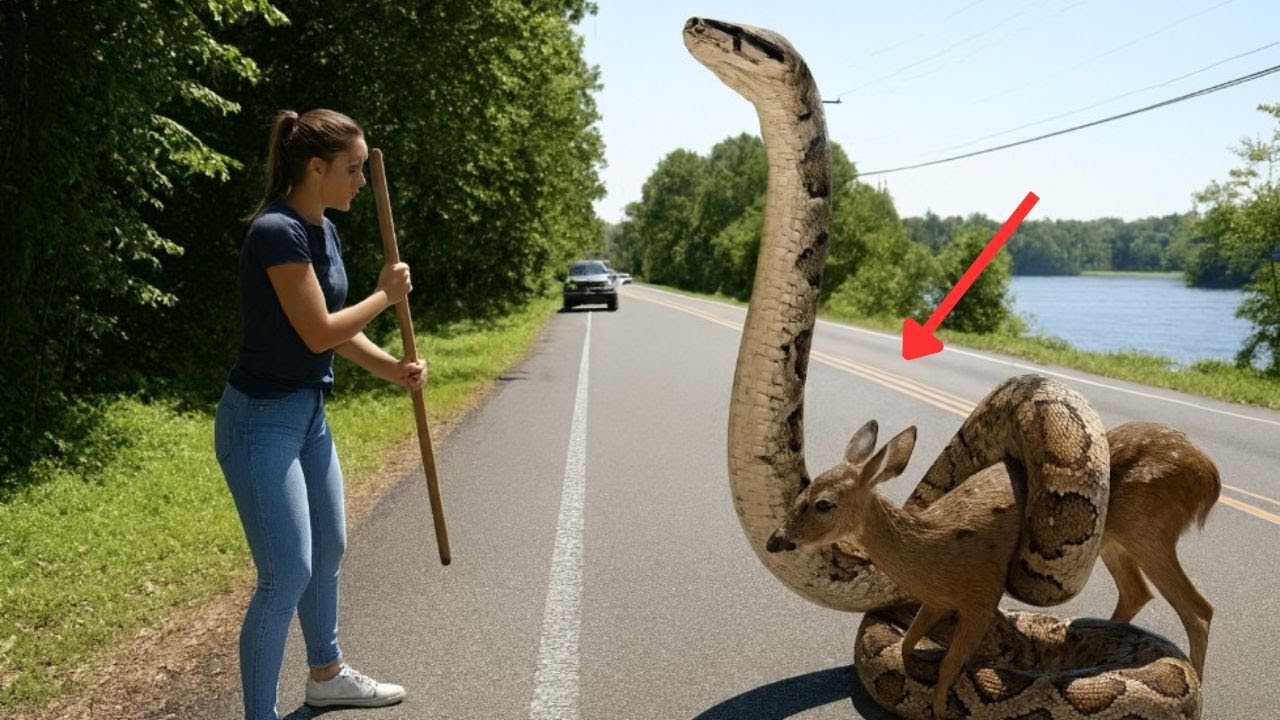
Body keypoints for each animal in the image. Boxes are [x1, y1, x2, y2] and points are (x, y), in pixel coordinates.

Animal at [765, 420, 1218, 720]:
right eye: (802, 491)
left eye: (823, 504)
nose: (775, 540)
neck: (926, 550)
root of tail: (1208, 475)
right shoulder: (936, 601)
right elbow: (909, 645)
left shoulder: (980, 596)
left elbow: (949, 672)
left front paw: (943, 707)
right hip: (1116, 542)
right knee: (1138, 592)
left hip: (1148, 531)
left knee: (1198, 607)